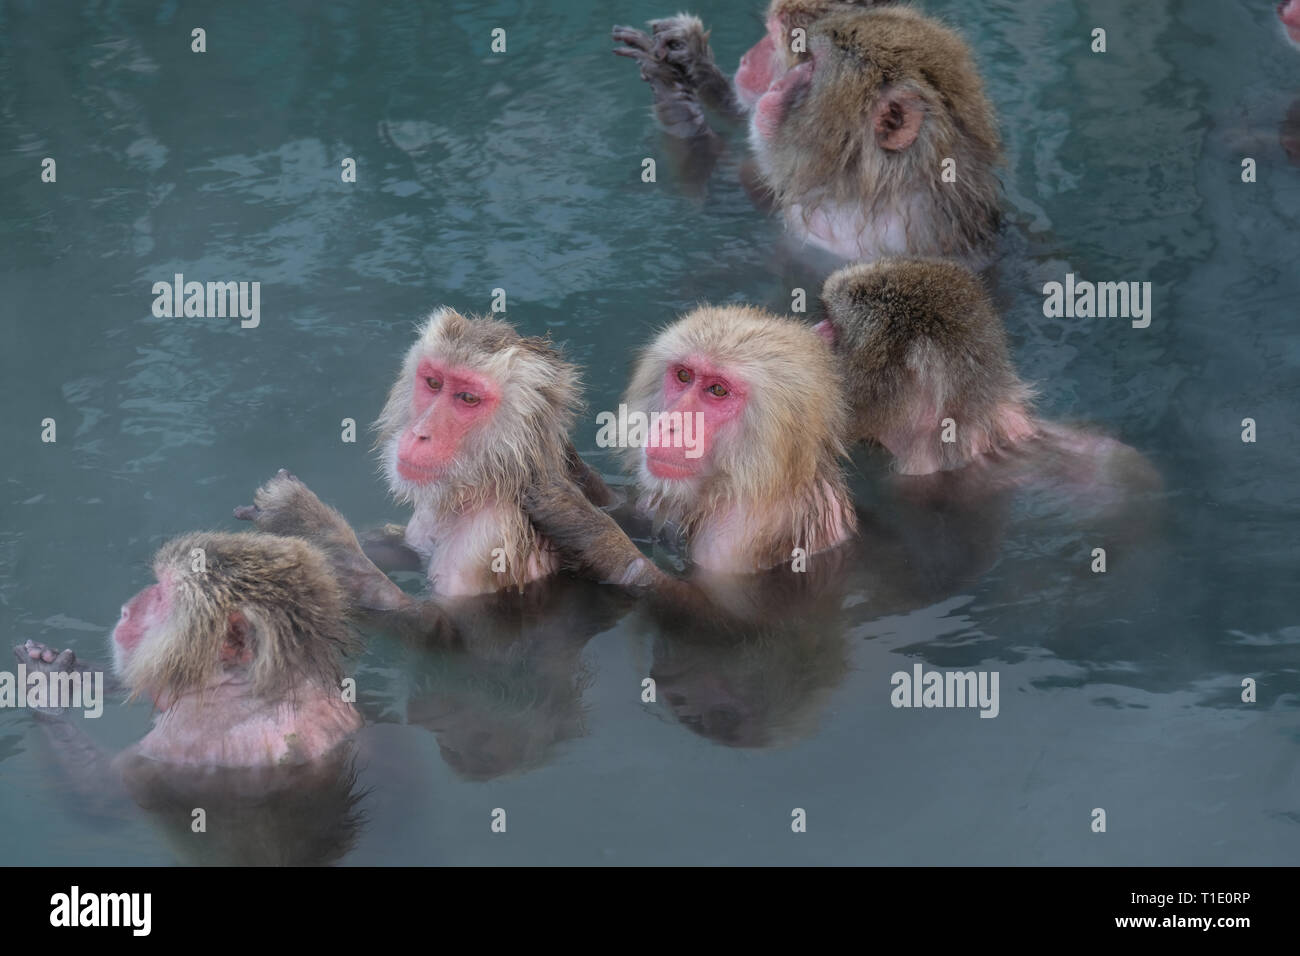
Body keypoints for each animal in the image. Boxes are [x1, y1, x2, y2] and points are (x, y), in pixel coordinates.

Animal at [614, 2, 1000, 263]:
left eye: (810, 67)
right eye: (804, 56)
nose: (775, 86)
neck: (863, 190)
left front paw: (678, 102)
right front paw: (689, 69)